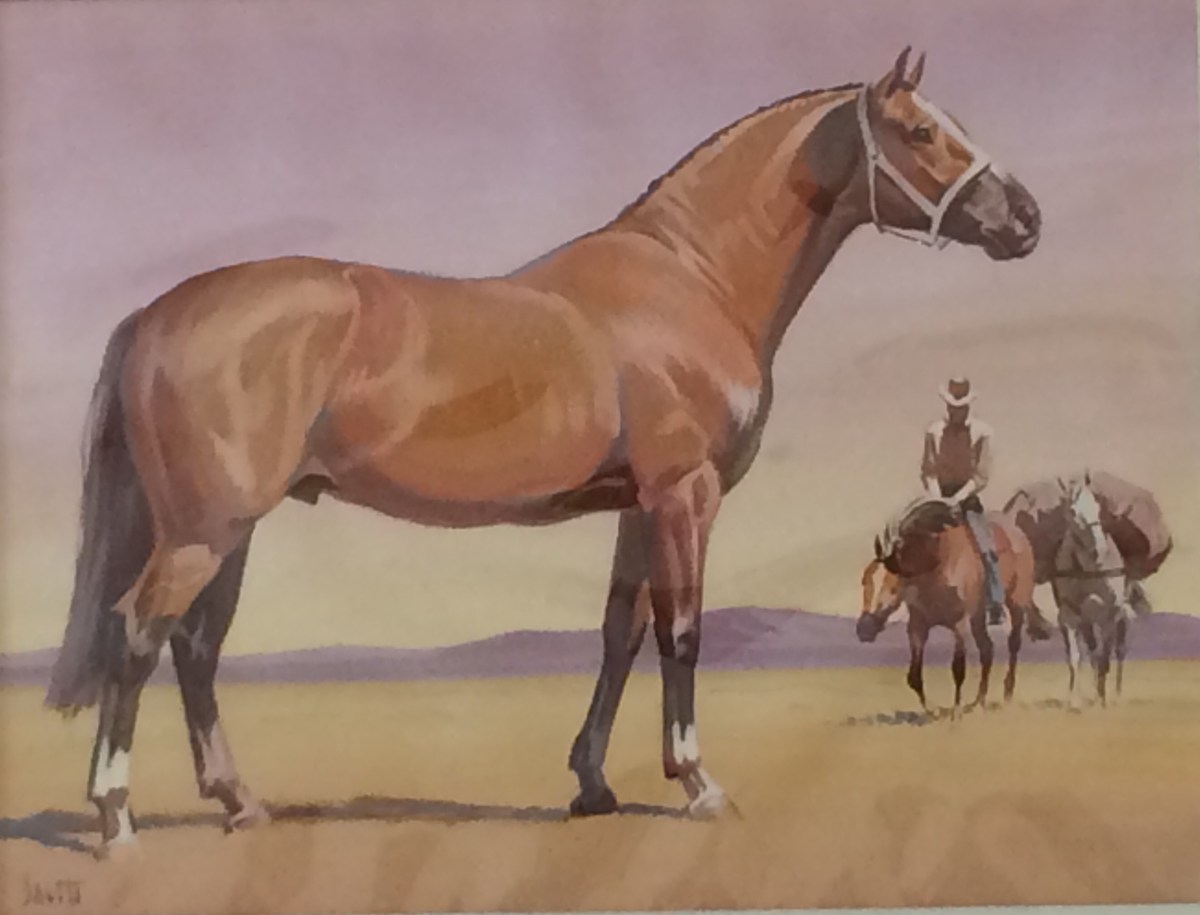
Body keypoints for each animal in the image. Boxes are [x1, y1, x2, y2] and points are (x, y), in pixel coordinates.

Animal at [857, 498, 1050, 715]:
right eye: (865, 583)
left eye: (892, 586)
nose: (864, 629)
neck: (936, 562)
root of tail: (1018, 535)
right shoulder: (918, 626)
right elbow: (914, 676)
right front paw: (932, 710)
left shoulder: (959, 624)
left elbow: (958, 669)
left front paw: (955, 712)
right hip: (978, 617)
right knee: (987, 649)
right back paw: (978, 702)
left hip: (1016, 605)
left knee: (1013, 644)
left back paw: (1007, 696)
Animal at [1050, 474, 1134, 710]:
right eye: (1072, 511)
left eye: (1097, 507)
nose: (1099, 551)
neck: (1087, 570)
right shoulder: (1069, 615)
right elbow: (1076, 657)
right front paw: (1074, 701)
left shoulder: (1108, 615)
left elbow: (1105, 657)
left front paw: (1103, 699)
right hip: (1087, 623)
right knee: (1094, 651)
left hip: (1120, 619)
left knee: (1118, 652)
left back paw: (1116, 695)